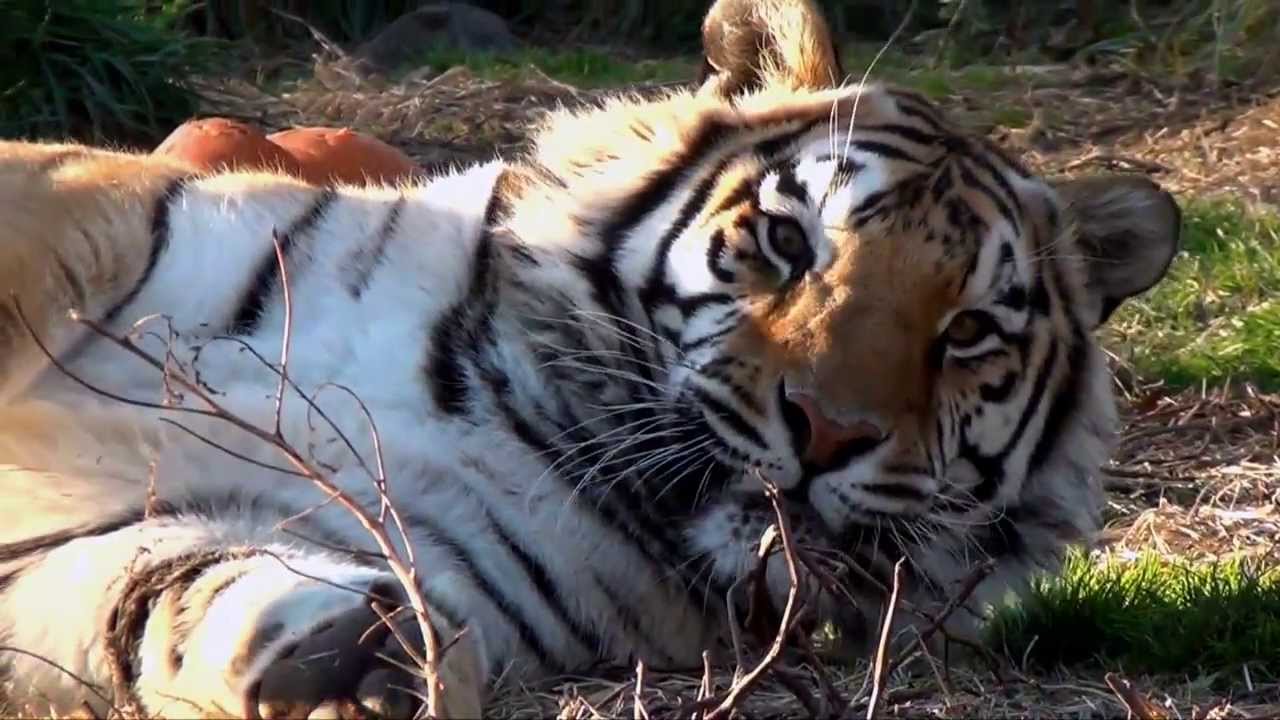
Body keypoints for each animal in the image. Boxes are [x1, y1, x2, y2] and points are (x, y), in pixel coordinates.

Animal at [0, 0, 1180, 716]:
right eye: (787, 239)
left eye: (967, 332)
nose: (827, 433)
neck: (514, 406)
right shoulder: (77, 207)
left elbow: (157, 585)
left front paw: (365, 660)